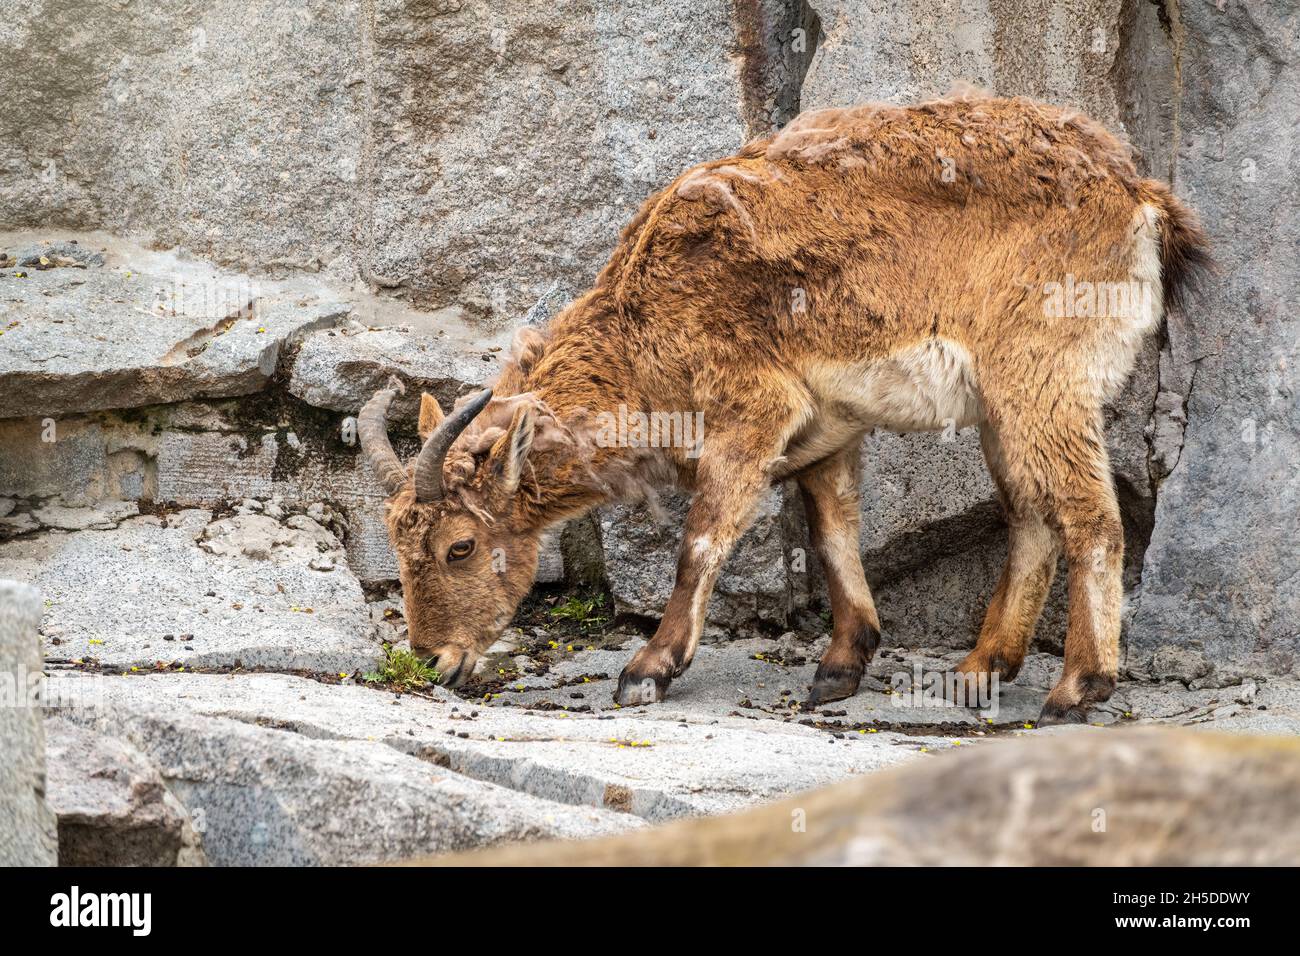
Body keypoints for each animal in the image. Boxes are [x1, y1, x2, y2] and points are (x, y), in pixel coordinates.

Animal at [357, 91, 1210, 724]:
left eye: (459, 546)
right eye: (399, 542)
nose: (434, 658)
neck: (648, 316)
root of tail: (1140, 200)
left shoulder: (751, 410)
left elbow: (703, 539)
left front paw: (648, 669)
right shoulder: (828, 430)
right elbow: (833, 536)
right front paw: (840, 666)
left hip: (1042, 376)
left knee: (1090, 515)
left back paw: (1077, 687)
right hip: (1007, 404)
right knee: (1031, 511)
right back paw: (980, 669)